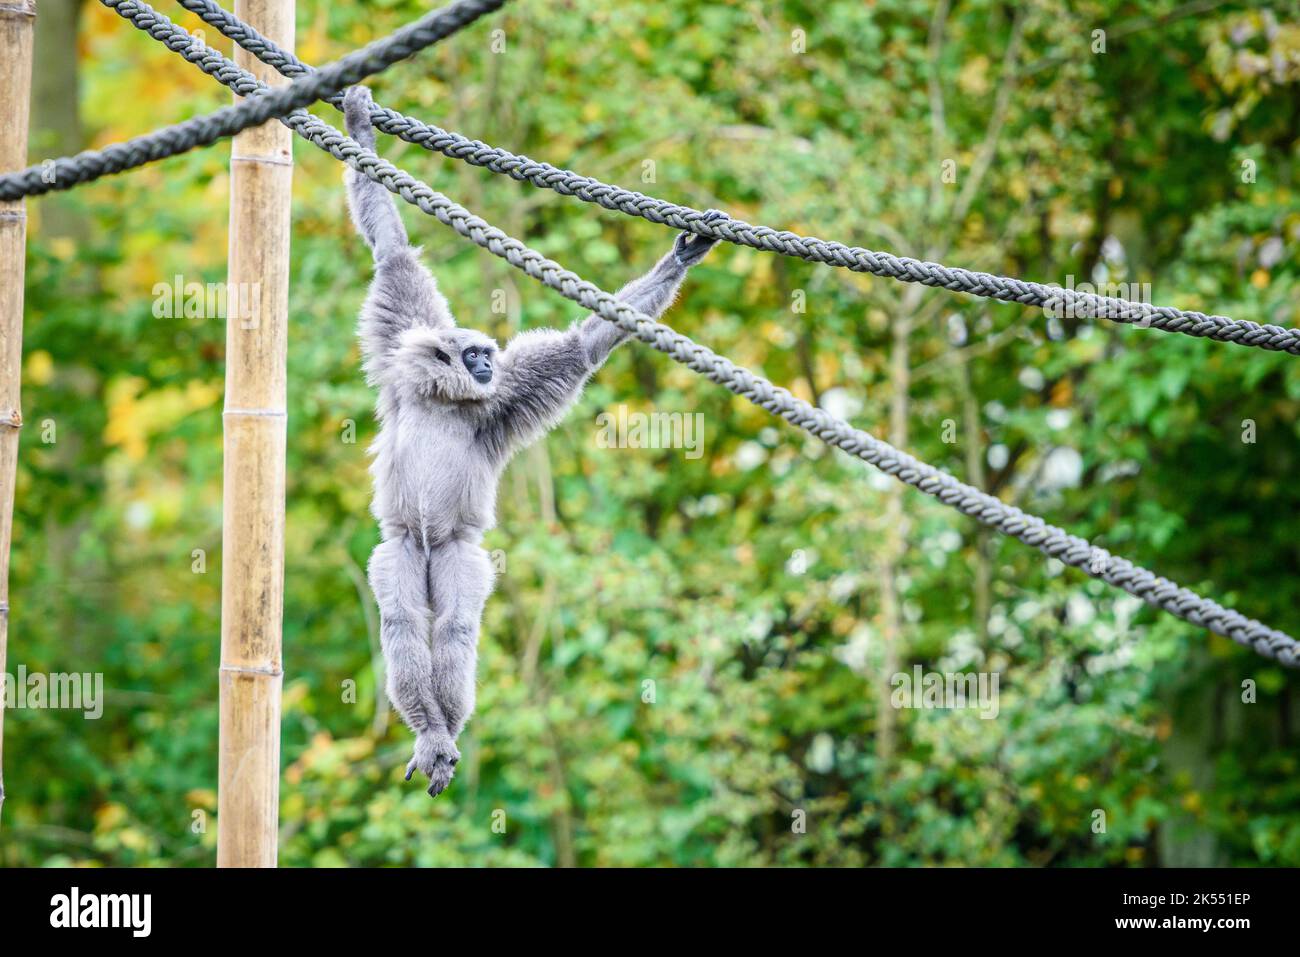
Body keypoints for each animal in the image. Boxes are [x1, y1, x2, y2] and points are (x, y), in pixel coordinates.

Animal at [342, 86, 723, 796]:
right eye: (473, 353)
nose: (487, 364)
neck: (447, 399)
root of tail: (431, 549)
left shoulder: (502, 400)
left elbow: (580, 348)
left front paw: (683, 254)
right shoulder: (405, 360)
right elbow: (392, 253)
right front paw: (359, 126)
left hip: (461, 554)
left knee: (455, 625)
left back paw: (442, 732)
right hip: (401, 548)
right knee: (405, 621)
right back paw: (432, 733)